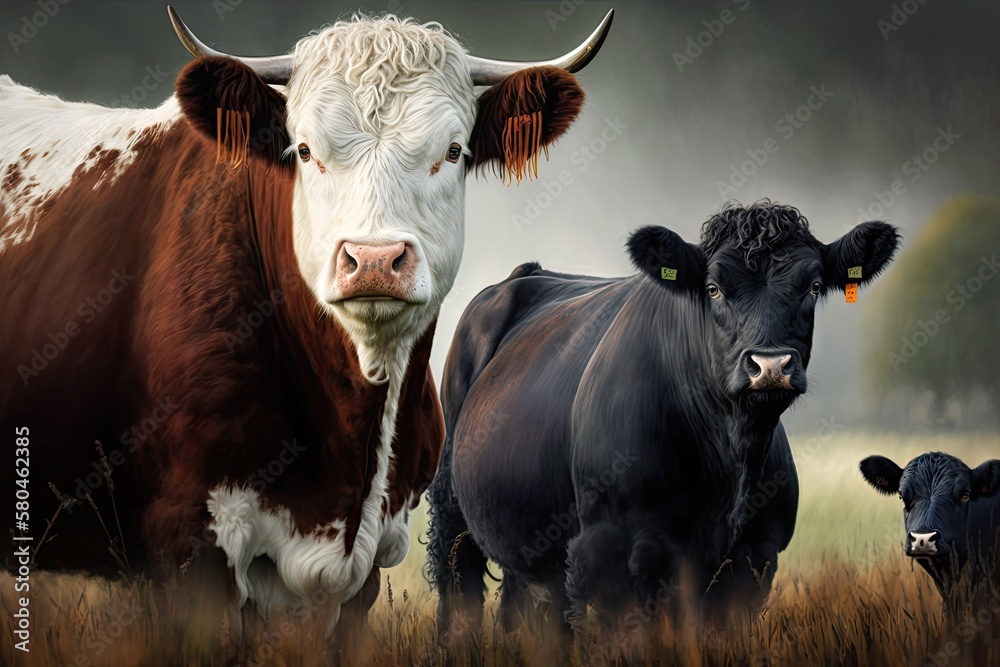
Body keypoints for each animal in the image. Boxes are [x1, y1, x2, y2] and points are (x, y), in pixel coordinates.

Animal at [427, 202, 899, 645]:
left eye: (814, 287)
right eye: (713, 288)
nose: (770, 365)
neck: (728, 462)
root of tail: (528, 274)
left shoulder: (755, 558)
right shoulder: (606, 551)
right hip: (452, 513)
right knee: (460, 598)